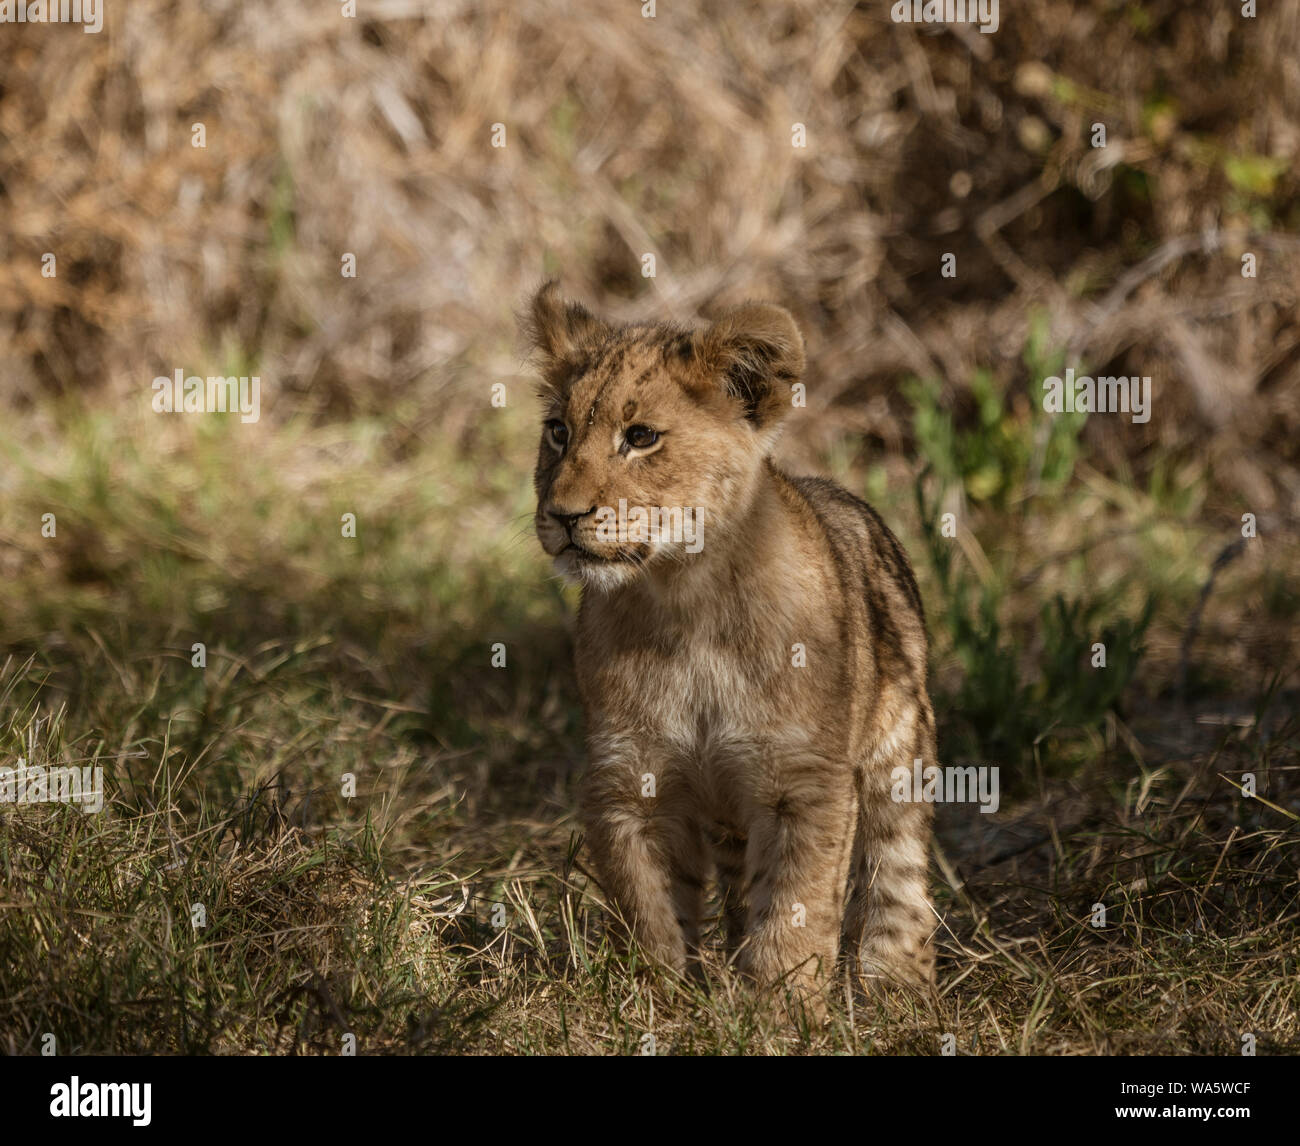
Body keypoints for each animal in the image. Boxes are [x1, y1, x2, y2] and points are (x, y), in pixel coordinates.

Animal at [525, 281, 938, 1003]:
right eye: (558, 431)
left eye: (640, 437)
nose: (563, 515)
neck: (685, 602)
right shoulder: (632, 780)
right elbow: (650, 907)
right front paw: (657, 1002)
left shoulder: (806, 780)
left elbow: (798, 908)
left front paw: (781, 1011)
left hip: (900, 747)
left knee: (898, 871)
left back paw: (896, 993)